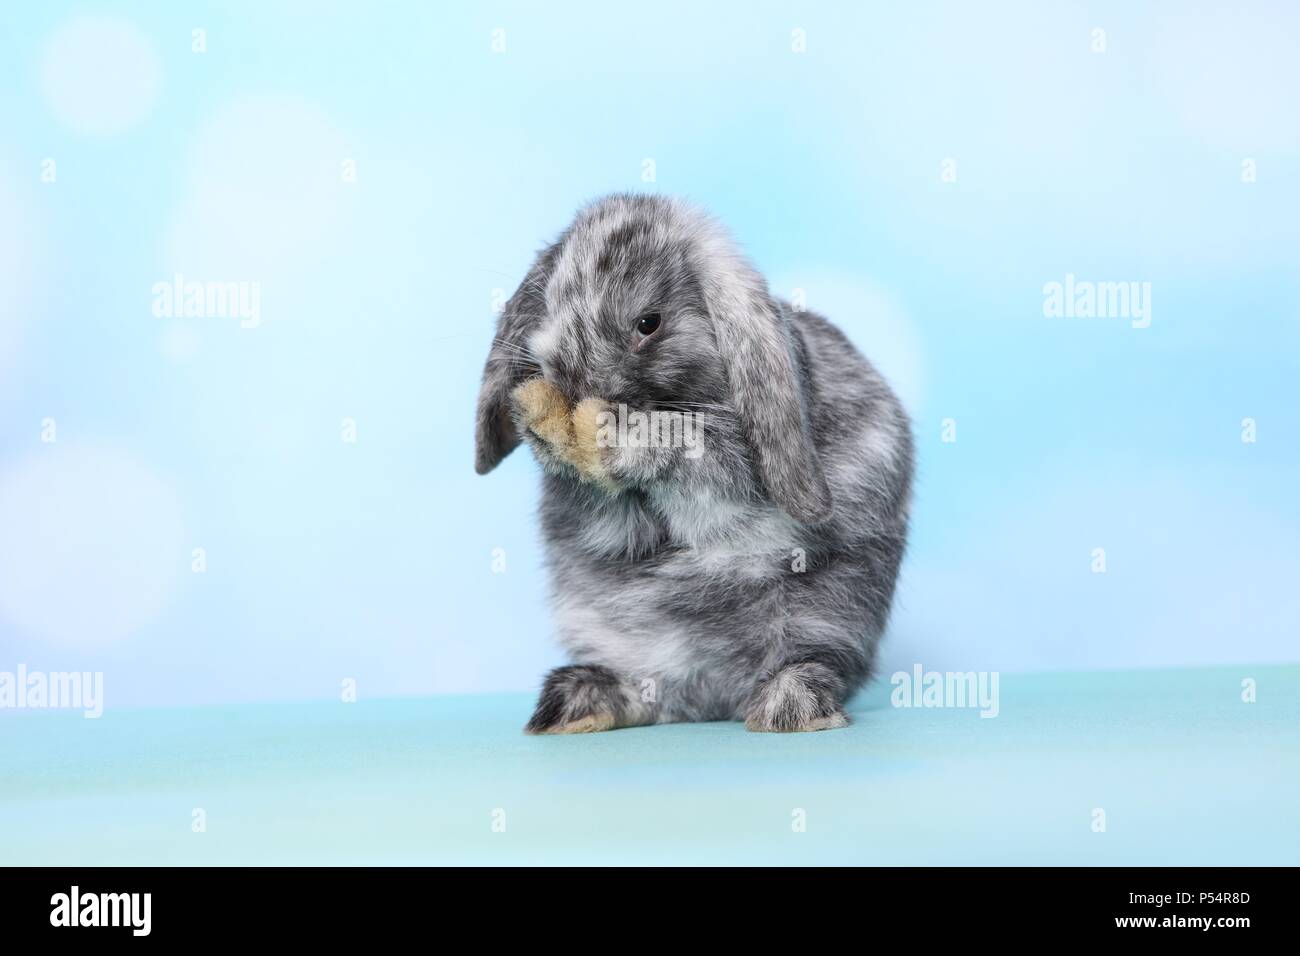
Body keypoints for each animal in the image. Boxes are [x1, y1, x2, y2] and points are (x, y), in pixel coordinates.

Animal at [474, 194, 913, 733]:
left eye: (650, 322)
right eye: (549, 313)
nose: (575, 386)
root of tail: (711, 702)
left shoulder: (727, 471)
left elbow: (677, 442)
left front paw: (604, 435)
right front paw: (540, 413)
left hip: (829, 620)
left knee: (810, 664)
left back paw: (789, 709)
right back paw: (579, 704)